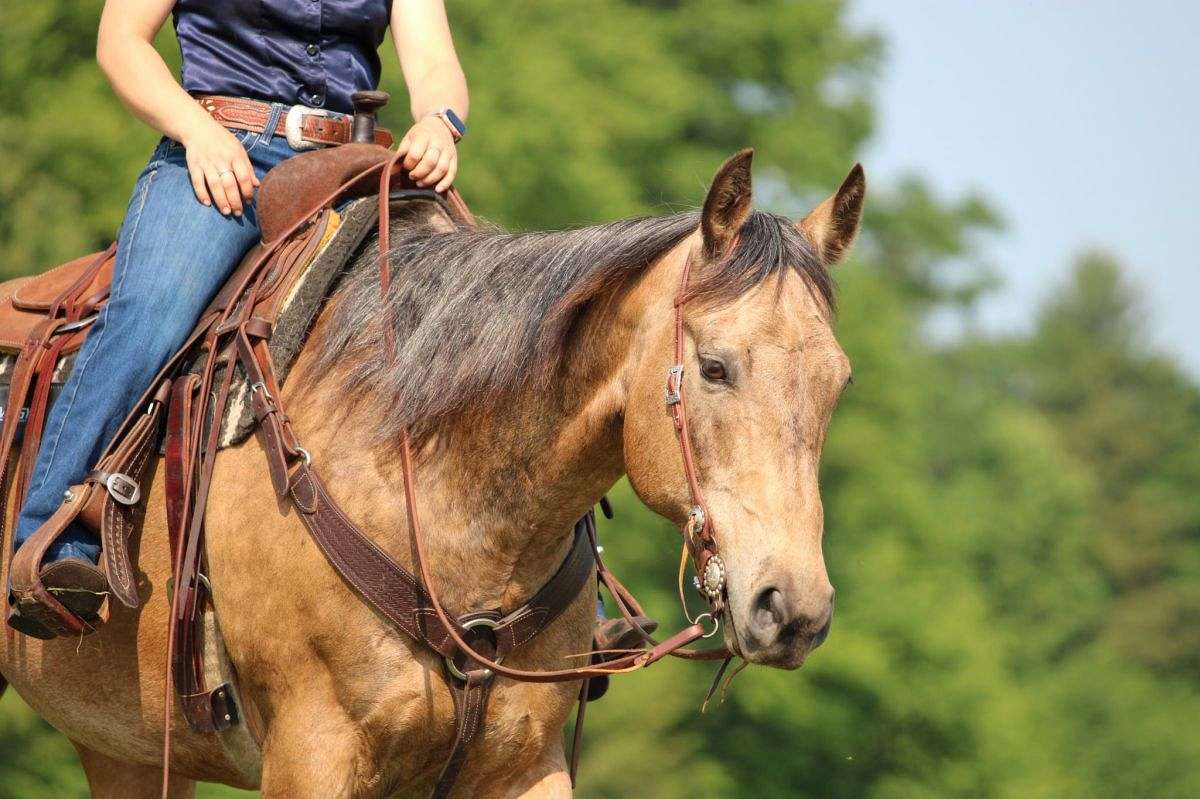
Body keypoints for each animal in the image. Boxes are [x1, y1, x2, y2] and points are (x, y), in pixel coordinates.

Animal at [0, 149, 864, 798]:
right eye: (714, 367)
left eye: (840, 381)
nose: (794, 607)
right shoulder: (311, 755)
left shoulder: (524, 765)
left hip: (126, 745)